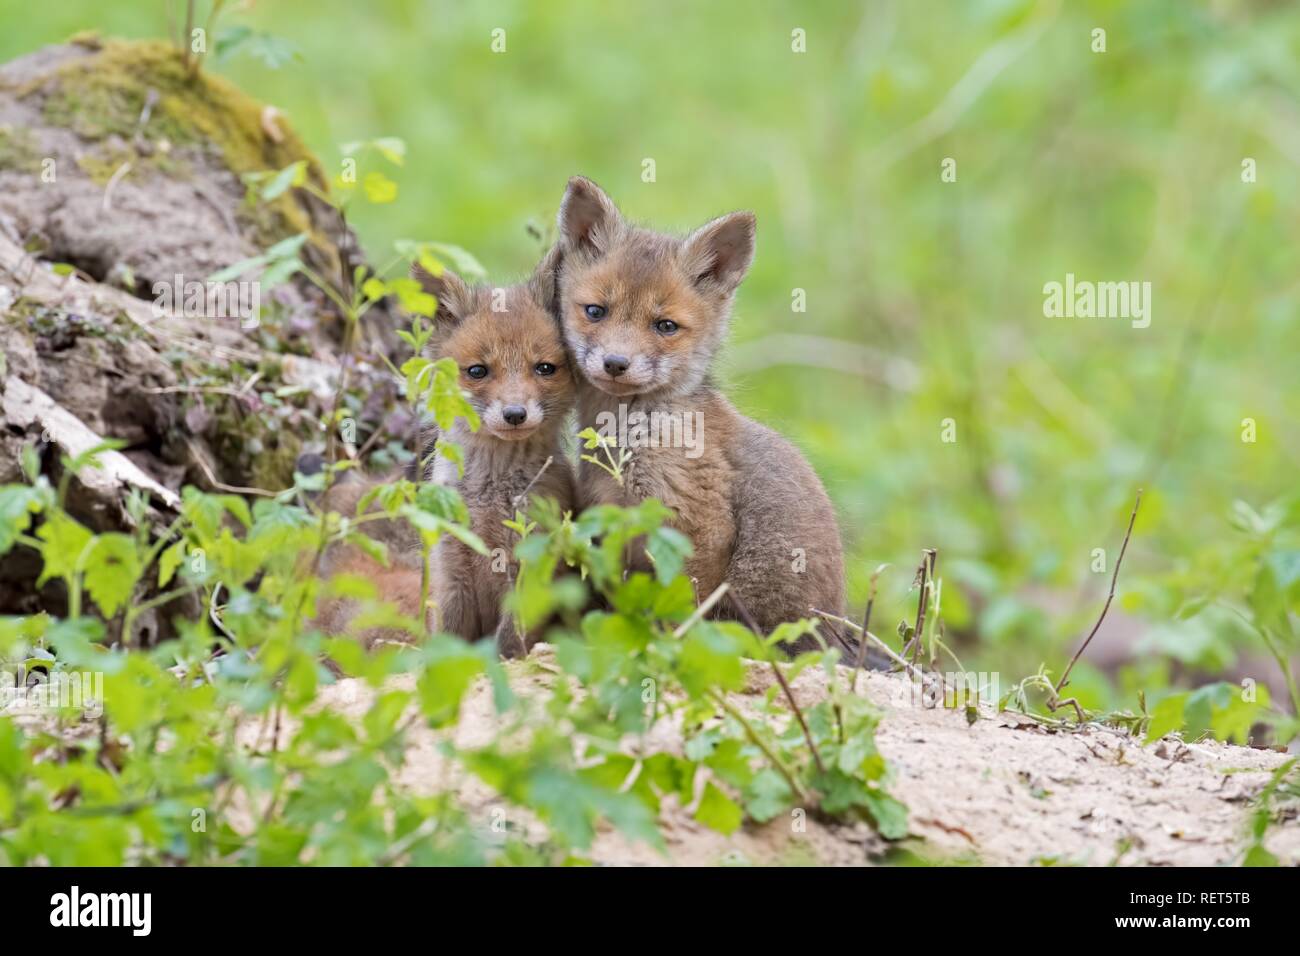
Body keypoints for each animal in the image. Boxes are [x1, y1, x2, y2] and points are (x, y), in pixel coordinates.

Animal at [316, 250, 576, 657]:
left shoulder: (528, 567)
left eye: (544, 368)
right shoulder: (449, 571)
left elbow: (507, 646)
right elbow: (444, 642)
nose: (515, 414)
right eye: (478, 371)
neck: (488, 498)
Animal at [552, 176, 858, 659]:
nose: (616, 363)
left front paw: (673, 649)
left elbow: (682, 607)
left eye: (665, 326)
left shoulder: (697, 527)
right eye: (596, 311)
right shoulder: (610, 518)